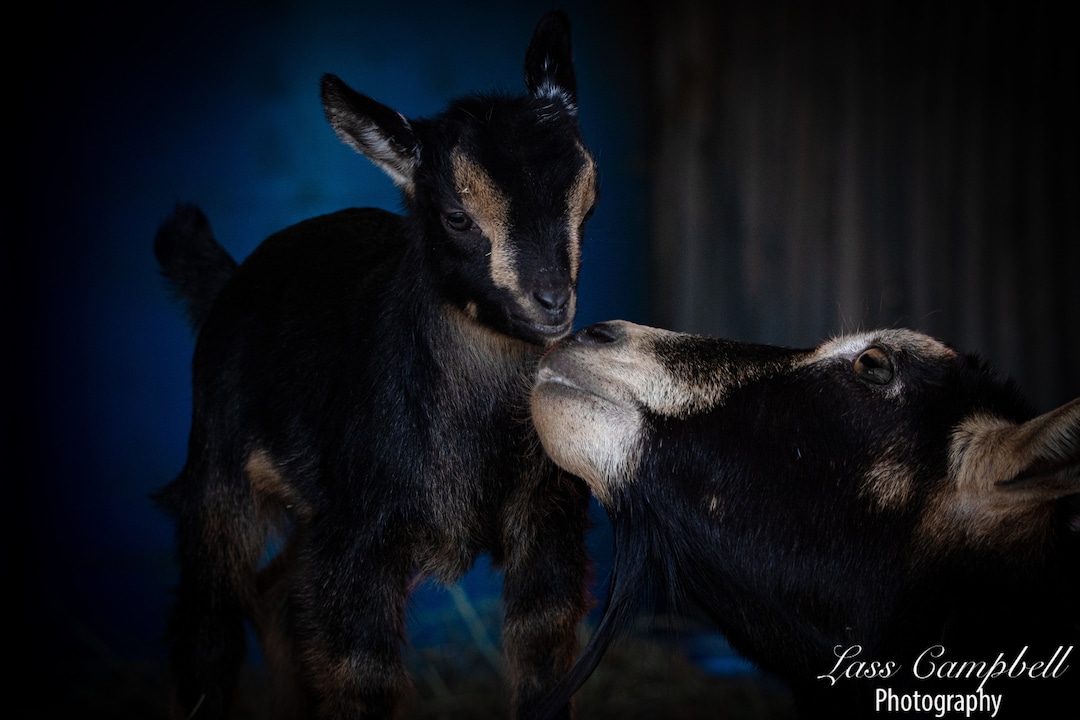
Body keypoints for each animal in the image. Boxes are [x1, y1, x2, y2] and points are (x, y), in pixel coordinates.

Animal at [154, 11, 598, 719]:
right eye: (456, 215)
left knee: (279, 597)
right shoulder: (360, 538)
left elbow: (544, 657)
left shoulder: (546, 519)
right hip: (219, 474)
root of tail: (232, 279)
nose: (552, 302)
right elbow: (360, 674)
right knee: (211, 617)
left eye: (588, 194)